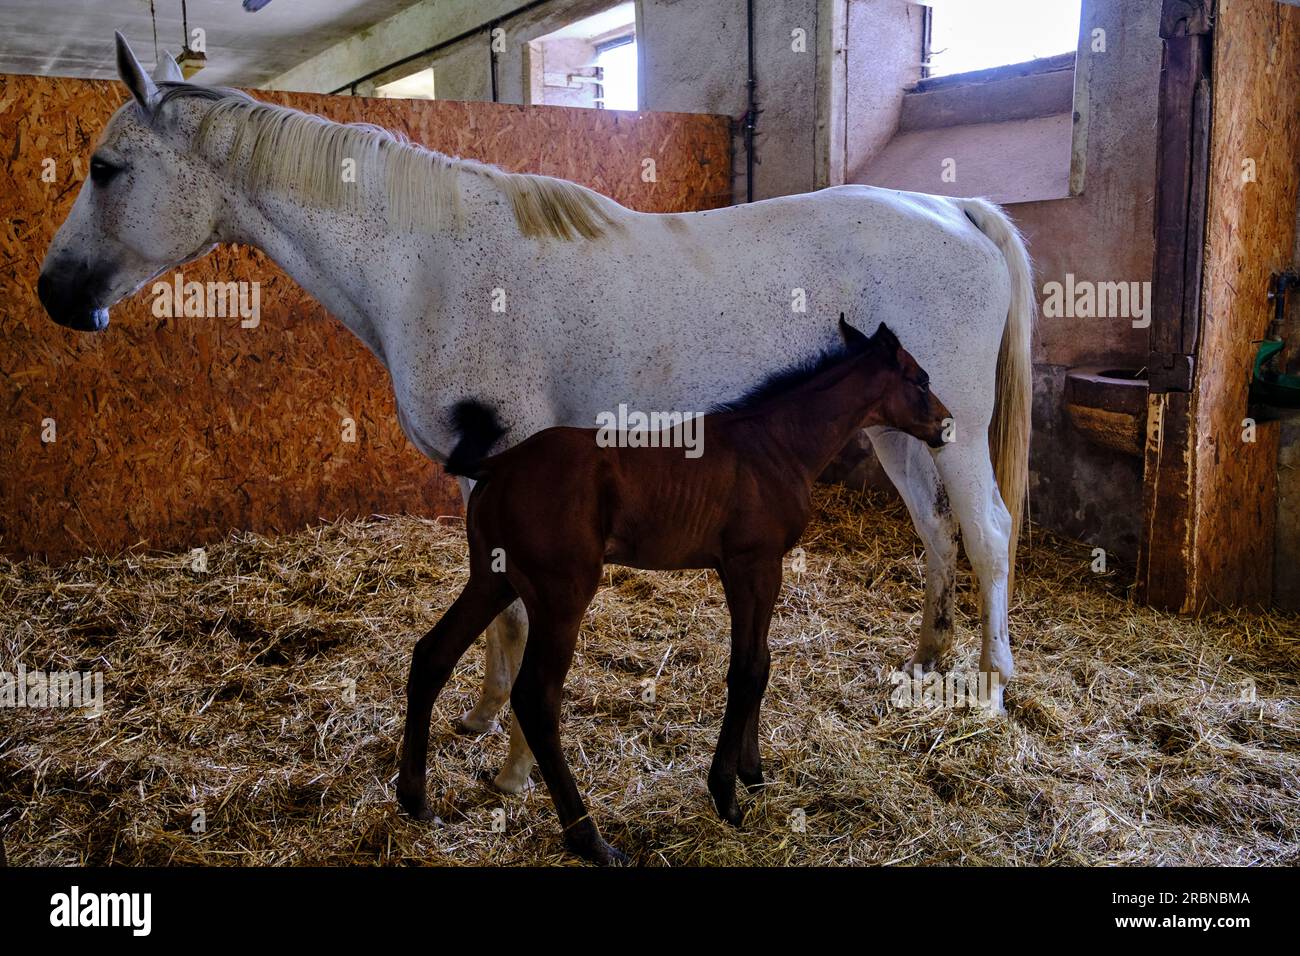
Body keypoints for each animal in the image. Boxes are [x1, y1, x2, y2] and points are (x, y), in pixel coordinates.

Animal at [39, 34, 1034, 797]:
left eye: (104, 168)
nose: (55, 294)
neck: (429, 262)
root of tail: (953, 207)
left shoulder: (520, 464)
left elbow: (521, 613)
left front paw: (514, 769)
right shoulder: (480, 475)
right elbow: (500, 610)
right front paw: (482, 717)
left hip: (950, 429)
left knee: (987, 533)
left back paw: (990, 690)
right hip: (898, 425)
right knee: (936, 531)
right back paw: (929, 657)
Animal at [397, 317, 951, 864]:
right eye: (921, 379)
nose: (946, 425)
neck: (776, 445)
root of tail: (500, 465)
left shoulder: (747, 569)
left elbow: (760, 662)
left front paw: (752, 774)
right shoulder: (754, 565)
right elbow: (748, 669)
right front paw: (726, 793)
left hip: (493, 578)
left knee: (432, 654)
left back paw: (416, 801)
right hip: (561, 595)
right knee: (536, 697)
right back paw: (590, 840)